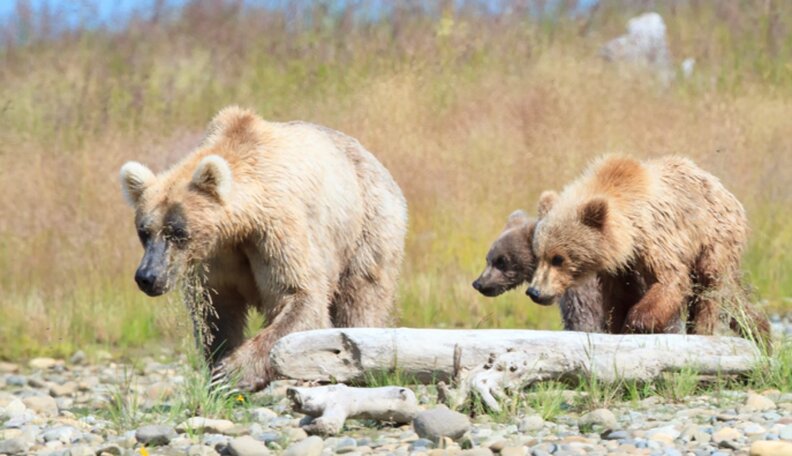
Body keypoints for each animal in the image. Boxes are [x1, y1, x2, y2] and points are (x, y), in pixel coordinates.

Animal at [119, 106, 408, 390]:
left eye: (178, 232)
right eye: (144, 232)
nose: (148, 277)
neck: (239, 226)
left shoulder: (276, 233)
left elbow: (300, 296)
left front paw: (232, 372)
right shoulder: (215, 258)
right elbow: (215, 311)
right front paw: (218, 366)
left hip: (367, 225)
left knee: (361, 296)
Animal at [527, 154, 769, 344]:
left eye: (558, 258)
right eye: (538, 255)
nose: (535, 292)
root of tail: (727, 193)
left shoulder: (656, 238)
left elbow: (670, 280)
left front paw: (635, 324)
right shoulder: (620, 265)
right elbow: (620, 296)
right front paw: (617, 326)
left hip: (714, 239)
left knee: (708, 288)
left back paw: (701, 331)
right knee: (732, 298)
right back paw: (761, 332)